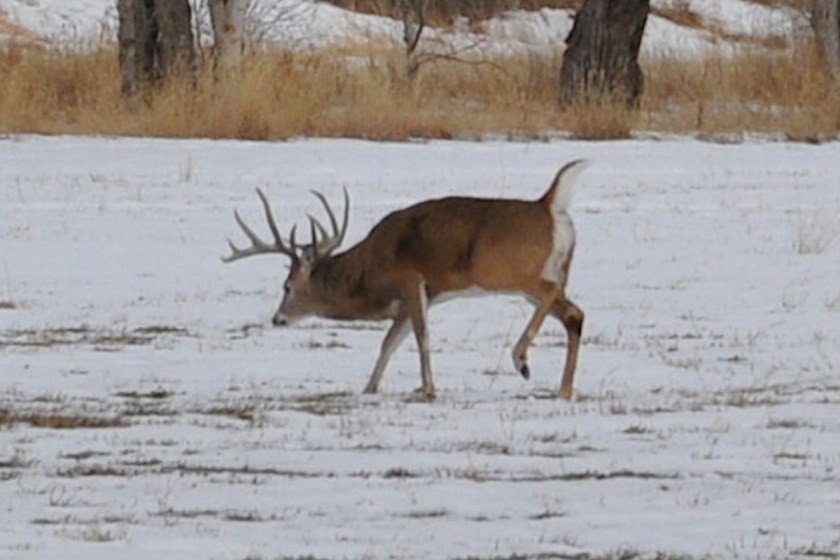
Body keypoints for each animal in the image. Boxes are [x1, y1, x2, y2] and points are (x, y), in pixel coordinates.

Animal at [222, 159, 589, 400]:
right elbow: (390, 342)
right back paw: (564, 389)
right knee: (574, 313)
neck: (369, 271)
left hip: (504, 271)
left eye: (286, 287)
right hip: (546, 274)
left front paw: (427, 388)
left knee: (552, 295)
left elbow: (421, 336)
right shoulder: (407, 302)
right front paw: (369, 388)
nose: (278, 318)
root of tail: (548, 206)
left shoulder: (410, 281)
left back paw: (521, 359)